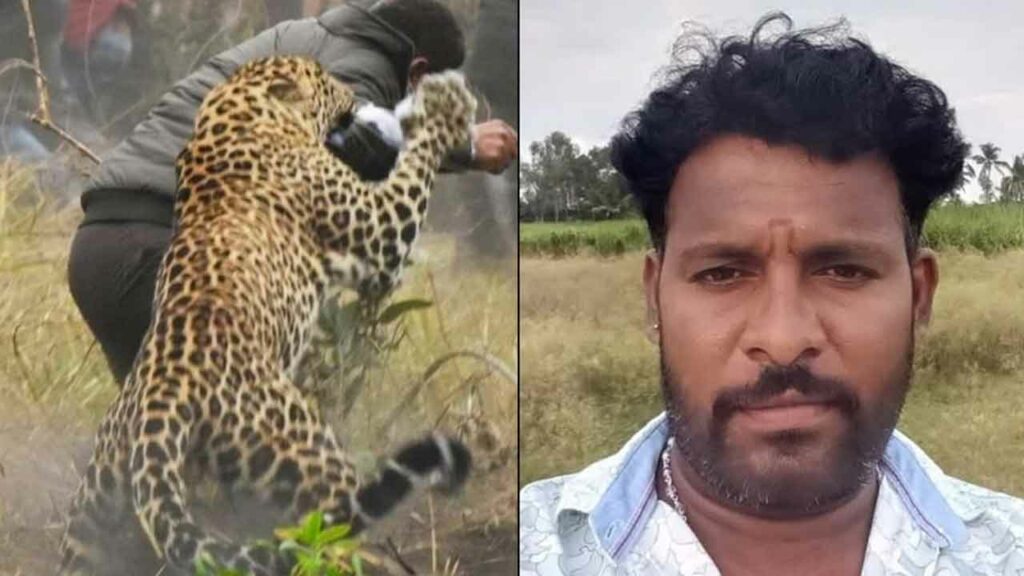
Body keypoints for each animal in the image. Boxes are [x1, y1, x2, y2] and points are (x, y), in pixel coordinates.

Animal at [58, 55, 476, 576]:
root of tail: (162, 397)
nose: (352, 93)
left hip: (96, 512)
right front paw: (442, 108)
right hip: (310, 457)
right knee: (326, 537)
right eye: (325, 80)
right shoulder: (379, 234)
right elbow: (415, 167)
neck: (236, 114)